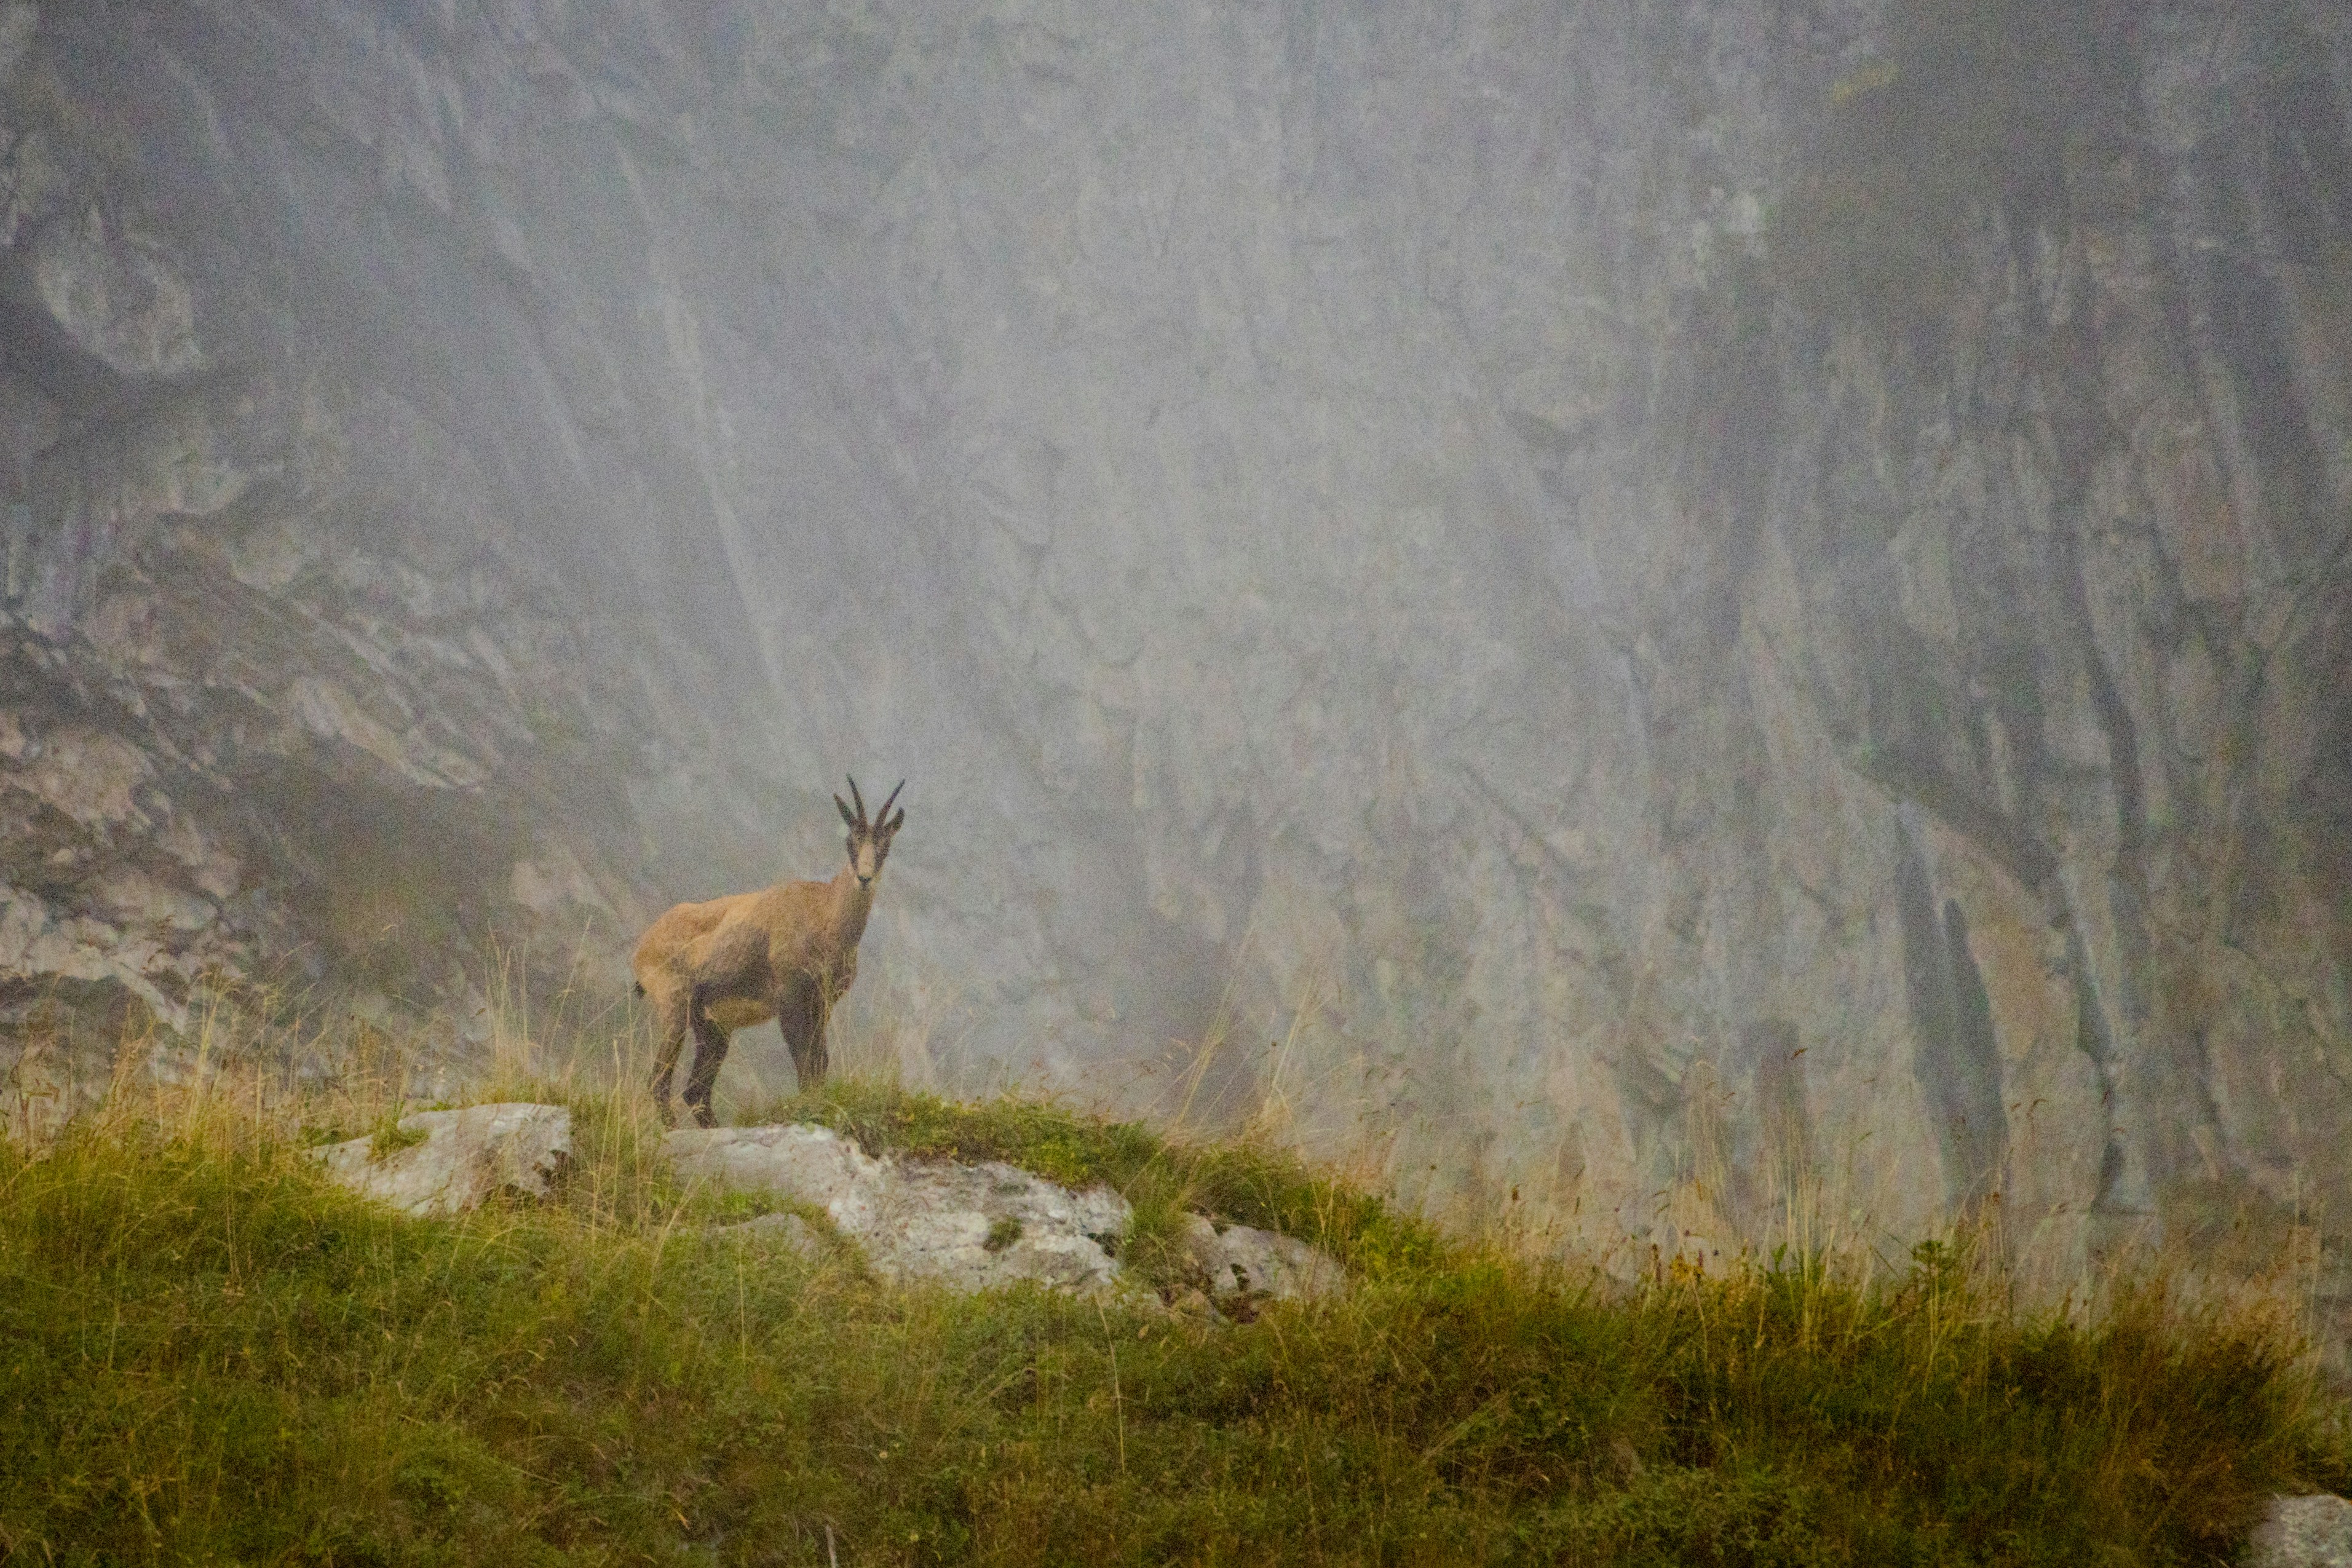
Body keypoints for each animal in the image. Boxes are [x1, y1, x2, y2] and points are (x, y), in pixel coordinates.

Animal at [633, 777, 905, 1128]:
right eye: (850, 840)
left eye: (885, 843)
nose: (864, 878)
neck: (825, 916)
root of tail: (644, 944)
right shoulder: (789, 999)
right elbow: (805, 1061)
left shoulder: (822, 1004)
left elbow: (820, 1061)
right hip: (675, 1008)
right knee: (660, 1083)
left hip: (713, 1028)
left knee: (695, 1093)